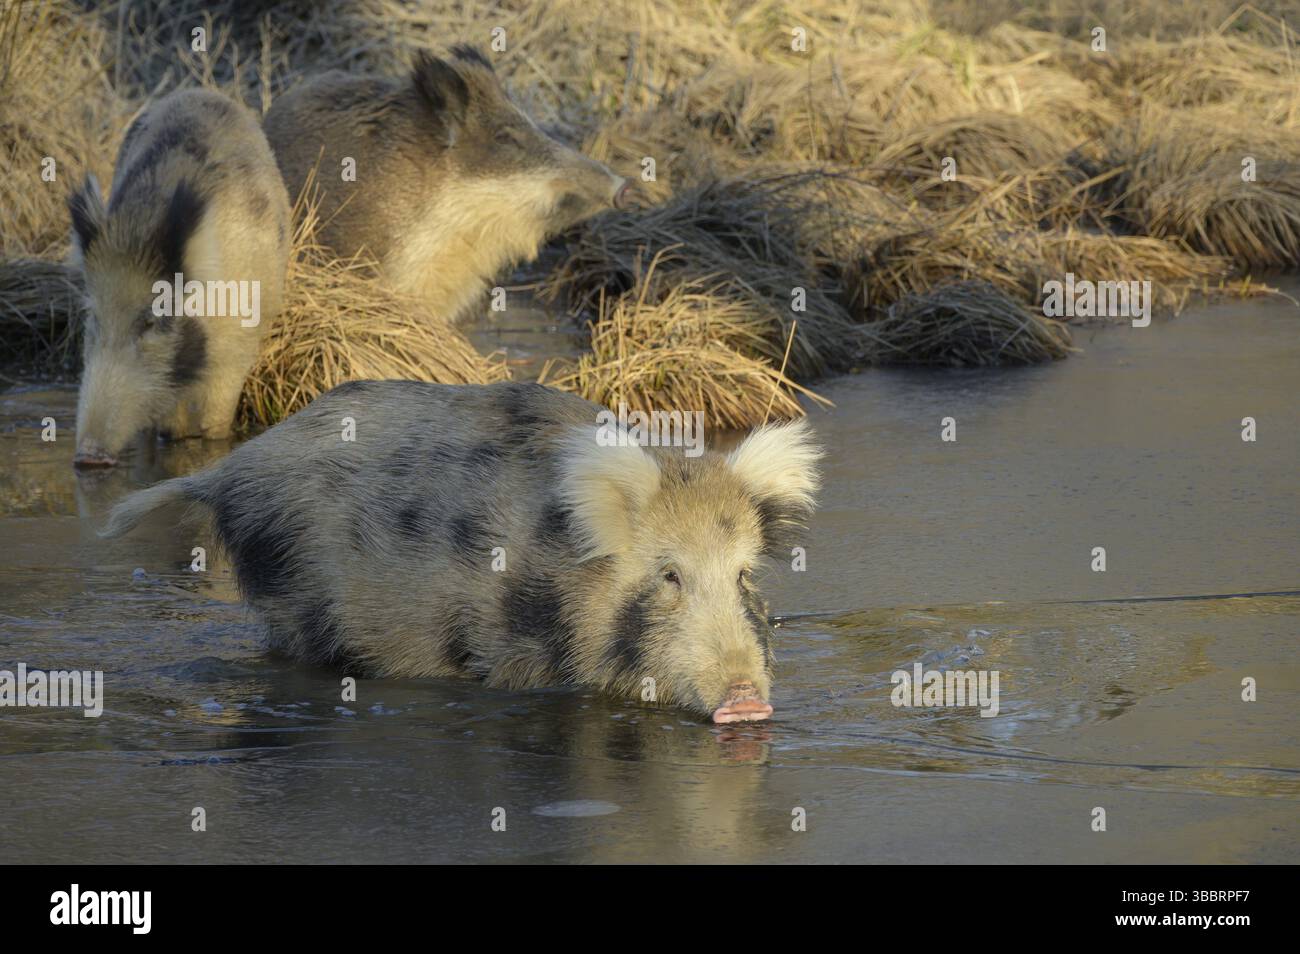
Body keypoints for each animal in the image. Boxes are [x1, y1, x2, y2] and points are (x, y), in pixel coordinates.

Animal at [68, 88, 291, 467]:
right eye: (94, 318)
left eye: (150, 320)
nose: (88, 456)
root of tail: (199, 92)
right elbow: (169, 430)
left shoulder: (236, 350)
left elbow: (216, 425)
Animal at [103, 381, 821, 722]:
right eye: (670, 574)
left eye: (745, 575)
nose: (747, 700)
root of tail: (228, 470)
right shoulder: (513, 655)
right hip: (293, 594)